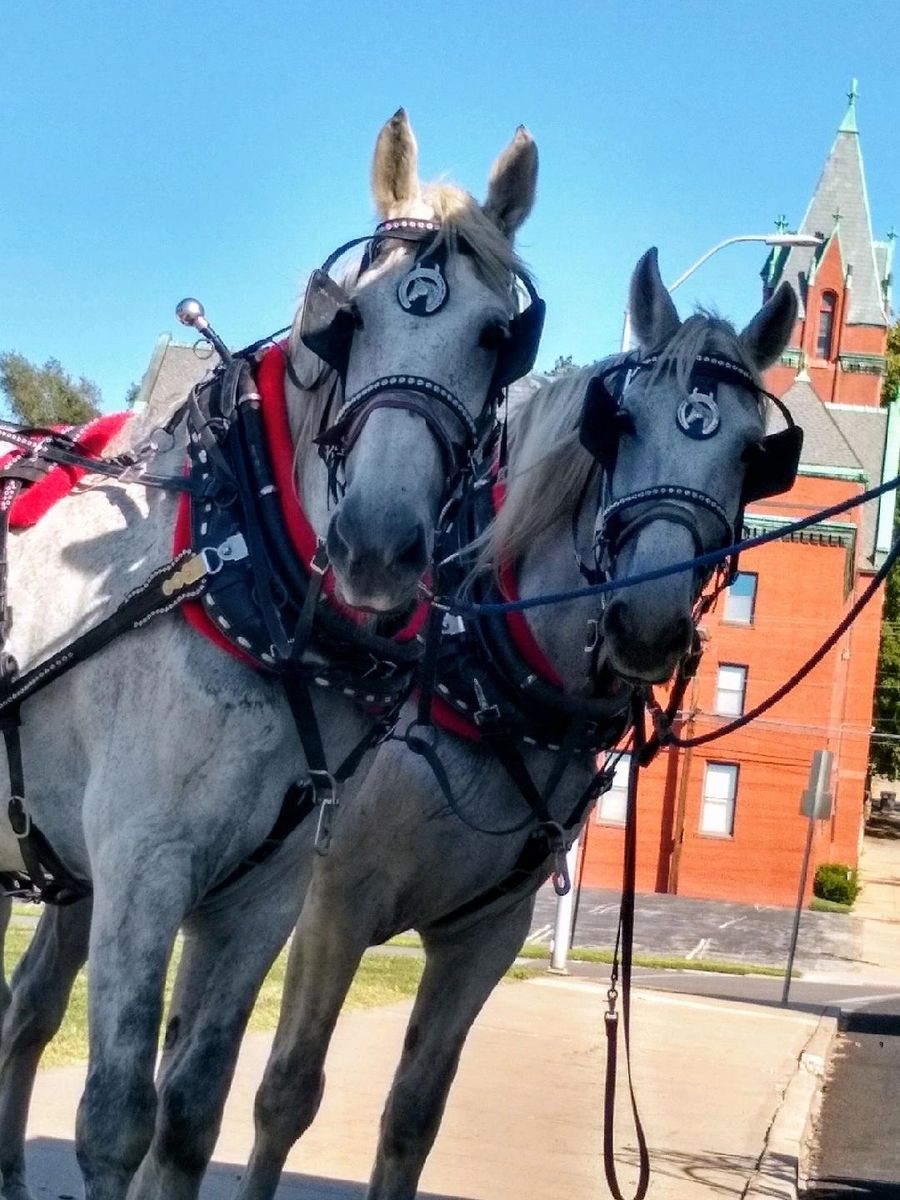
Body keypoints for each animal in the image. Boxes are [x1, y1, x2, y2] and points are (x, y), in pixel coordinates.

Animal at [0, 107, 540, 1200]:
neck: (235, 567)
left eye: (495, 337)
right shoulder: (142, 871)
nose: (377, 544)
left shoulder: (264, 900)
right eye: (347, 320)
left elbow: (189, 1115)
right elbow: (116, 1119)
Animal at [230, 250, 800, 1200]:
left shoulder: (484, 939)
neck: (479, 667)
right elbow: (285, 1094)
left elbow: (412, 1118)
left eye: (753, 454)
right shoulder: (333, 904)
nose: (647, 621)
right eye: (619, 424)